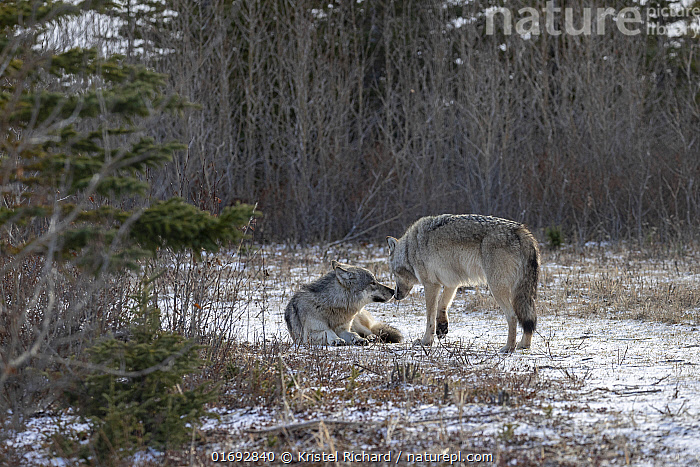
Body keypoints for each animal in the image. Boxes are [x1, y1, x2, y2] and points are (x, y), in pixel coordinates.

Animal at [386, 214, 539, 352]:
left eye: (394, 274)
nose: (395, 295)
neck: (409, 249)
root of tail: (521, 230)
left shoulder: (431, 285)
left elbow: (430, 317)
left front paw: (426, 341)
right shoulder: (451, 282)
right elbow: (442, 305)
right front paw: (442, 327)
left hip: (496, 288)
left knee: (513, 317)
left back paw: (508, 348)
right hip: (520, 293)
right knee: (528, 318)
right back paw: (523, 345)